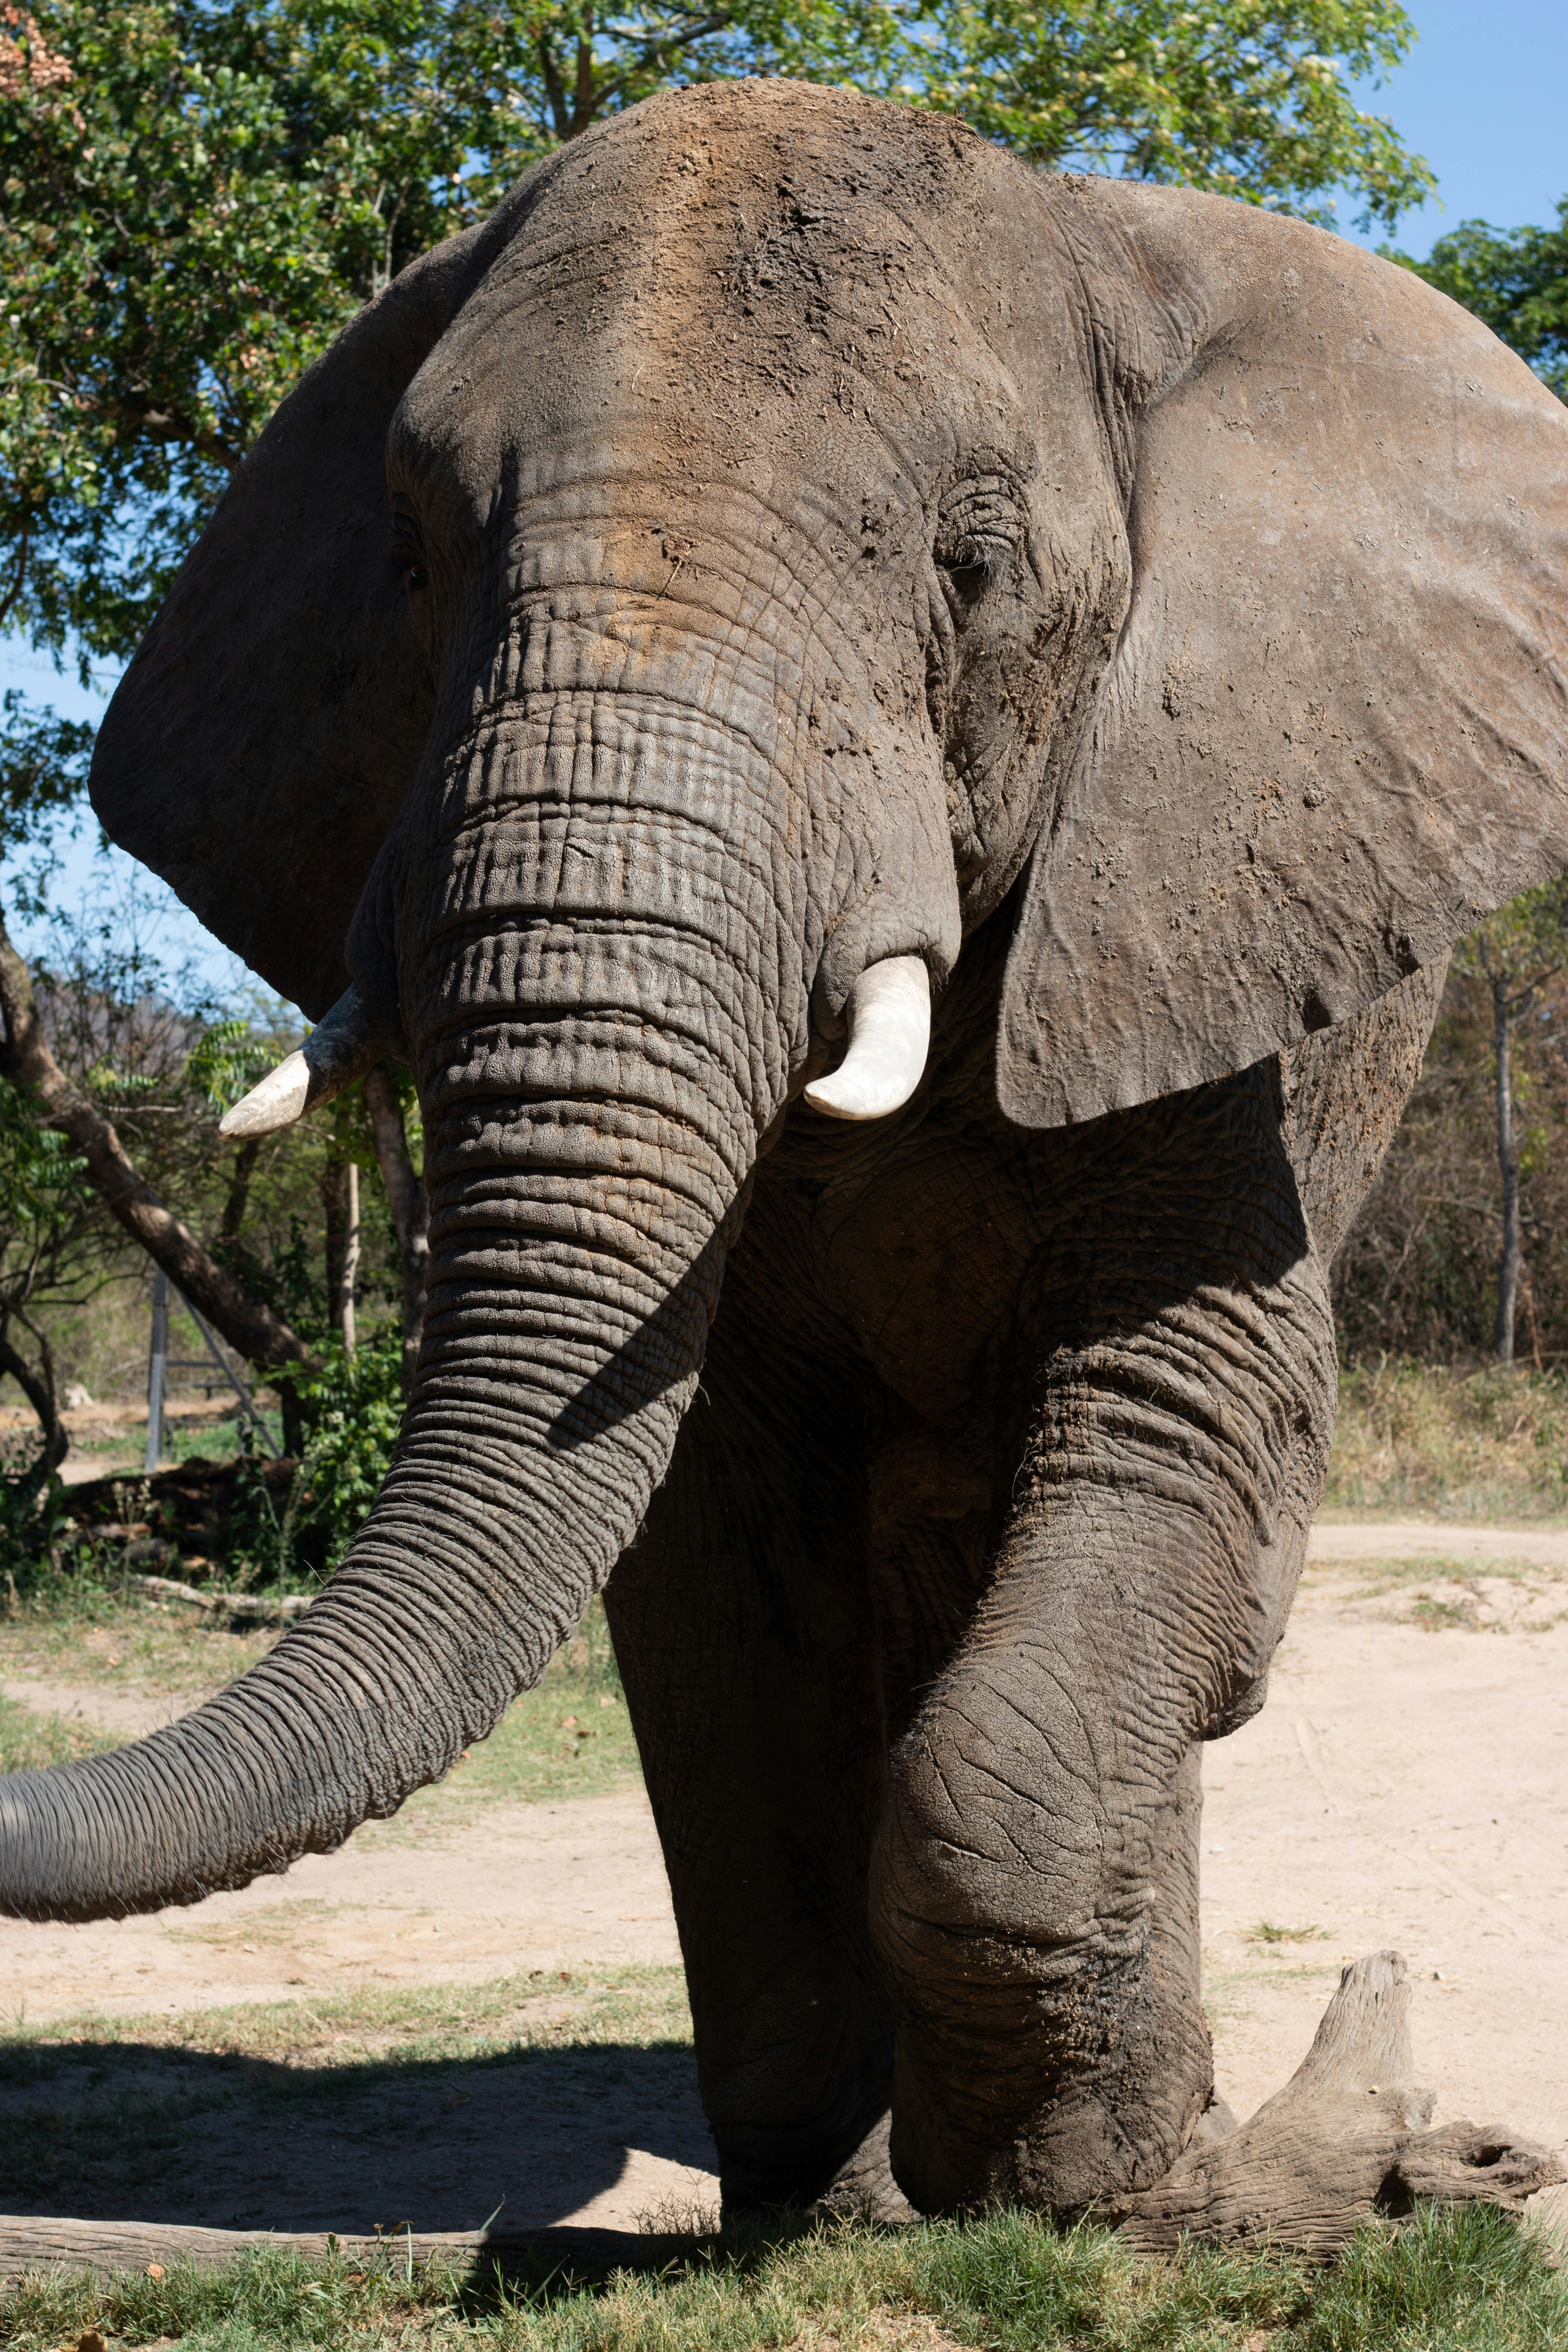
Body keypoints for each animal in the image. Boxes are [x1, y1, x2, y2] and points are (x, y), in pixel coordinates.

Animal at [4, 75, 1567, 2247]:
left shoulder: (1189, 896)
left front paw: (1088, 2200)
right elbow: (714, 1560)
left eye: (973, 569)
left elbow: (1188, 1411)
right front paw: (837, 2209)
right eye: (413, 555)